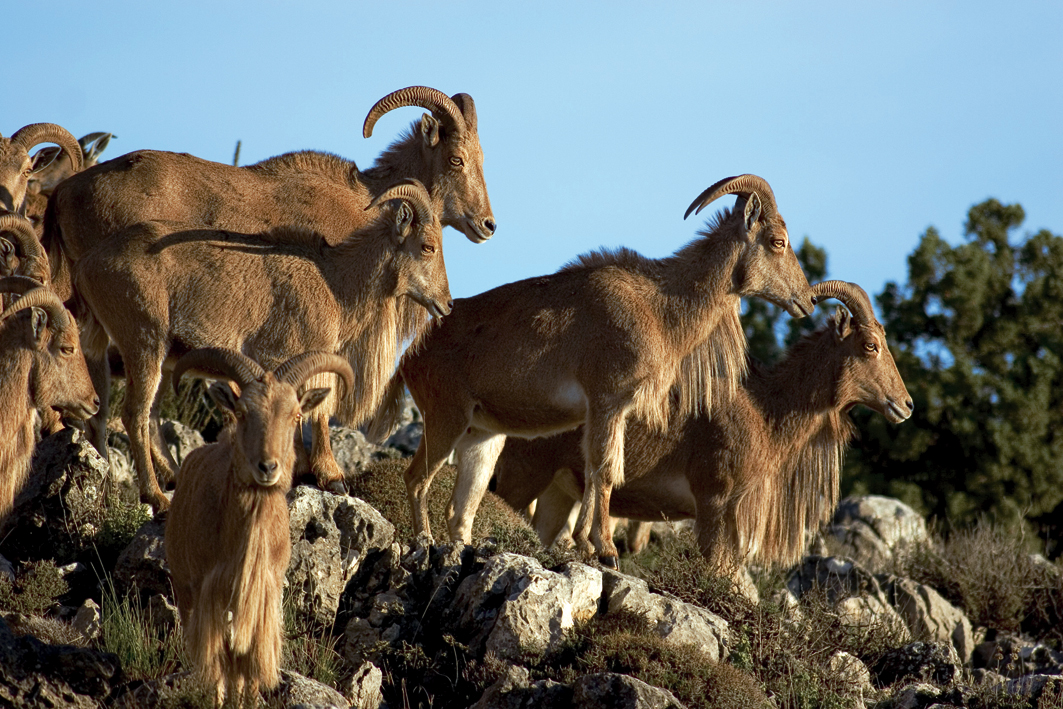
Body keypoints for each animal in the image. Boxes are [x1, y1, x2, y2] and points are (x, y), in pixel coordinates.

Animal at [46, 85, 492, 464]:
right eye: (456, 158)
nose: (488, 224)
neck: (362, 210)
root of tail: (65, 192)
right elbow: (320, 405)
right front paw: (328, 472)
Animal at [73, 180, 449, 510]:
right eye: (427, 246)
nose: (446, 304)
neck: (334, 283)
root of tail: (88, 266)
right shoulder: (287, 355)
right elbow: (318, 416)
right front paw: (332, 478)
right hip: (144, 342)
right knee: (134, 414)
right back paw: (156, 497)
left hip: (165, 358)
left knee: (149, 416)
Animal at [165, 347, 353, 707]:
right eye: (241, 412)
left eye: (295, 415)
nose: (267, 467)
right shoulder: (210, 594)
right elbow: (218, 664)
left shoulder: (264, 597)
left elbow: (249, 665)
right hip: (185, 587)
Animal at [371, 174, 816, 566]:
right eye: (777, 241)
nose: (808, 300)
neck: (659, 306)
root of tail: (410, 357)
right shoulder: (607, 399)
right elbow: (604, 470)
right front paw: (604, 550)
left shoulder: (606, 412)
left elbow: (596, 469)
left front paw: (584, 544)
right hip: (445, 418)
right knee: (416, 479)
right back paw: (423, 544)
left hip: (482, 436)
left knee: (459, 508)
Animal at [494, 280, 914, 573]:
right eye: (870, 345)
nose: (906, 405)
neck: (766, 410)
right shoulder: (713, 500)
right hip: (523, 475)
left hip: (557, 492)